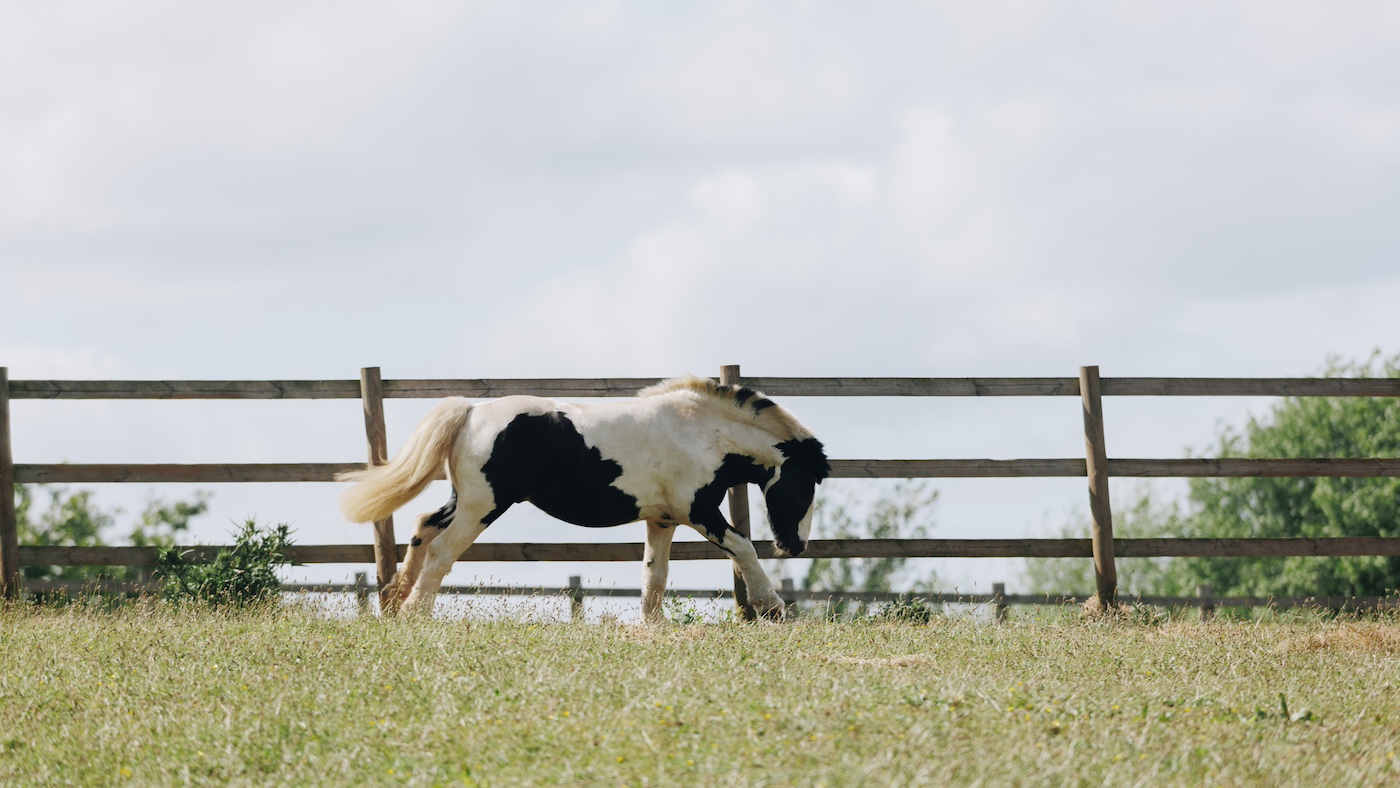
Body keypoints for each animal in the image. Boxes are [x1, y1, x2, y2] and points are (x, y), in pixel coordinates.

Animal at [336, 376, 830, 620]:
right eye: (808, 484)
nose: (796, 545)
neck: (699, 430)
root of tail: (472, 410)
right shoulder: (698, 510)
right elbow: (743, 548)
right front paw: (774, 608)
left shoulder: (663, 518)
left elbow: (655, 573)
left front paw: (653, 626)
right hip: (483, 506)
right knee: (440, 550)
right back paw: (415, 614)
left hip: (466, 500)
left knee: (422, 529)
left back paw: (395, 603)